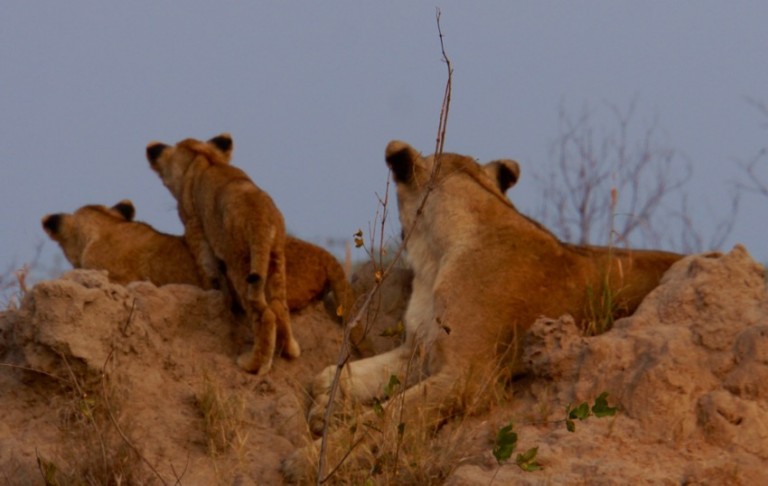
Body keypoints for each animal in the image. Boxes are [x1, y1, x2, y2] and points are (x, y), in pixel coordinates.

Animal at [146, 133, 298, 375]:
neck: (202, 156)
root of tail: (260, 216)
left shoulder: (195, 229)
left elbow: (209, 274)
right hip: (276, 257)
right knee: (279, 307)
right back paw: (290, 350)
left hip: (239, 260)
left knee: (263, 313)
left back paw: (253, 364)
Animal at [282, 141, 684, 481]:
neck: (436, 255)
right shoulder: (419, 350)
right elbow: (336, 375)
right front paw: (325, 410)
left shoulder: (468, 377)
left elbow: (390, 413)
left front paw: (308, 460)